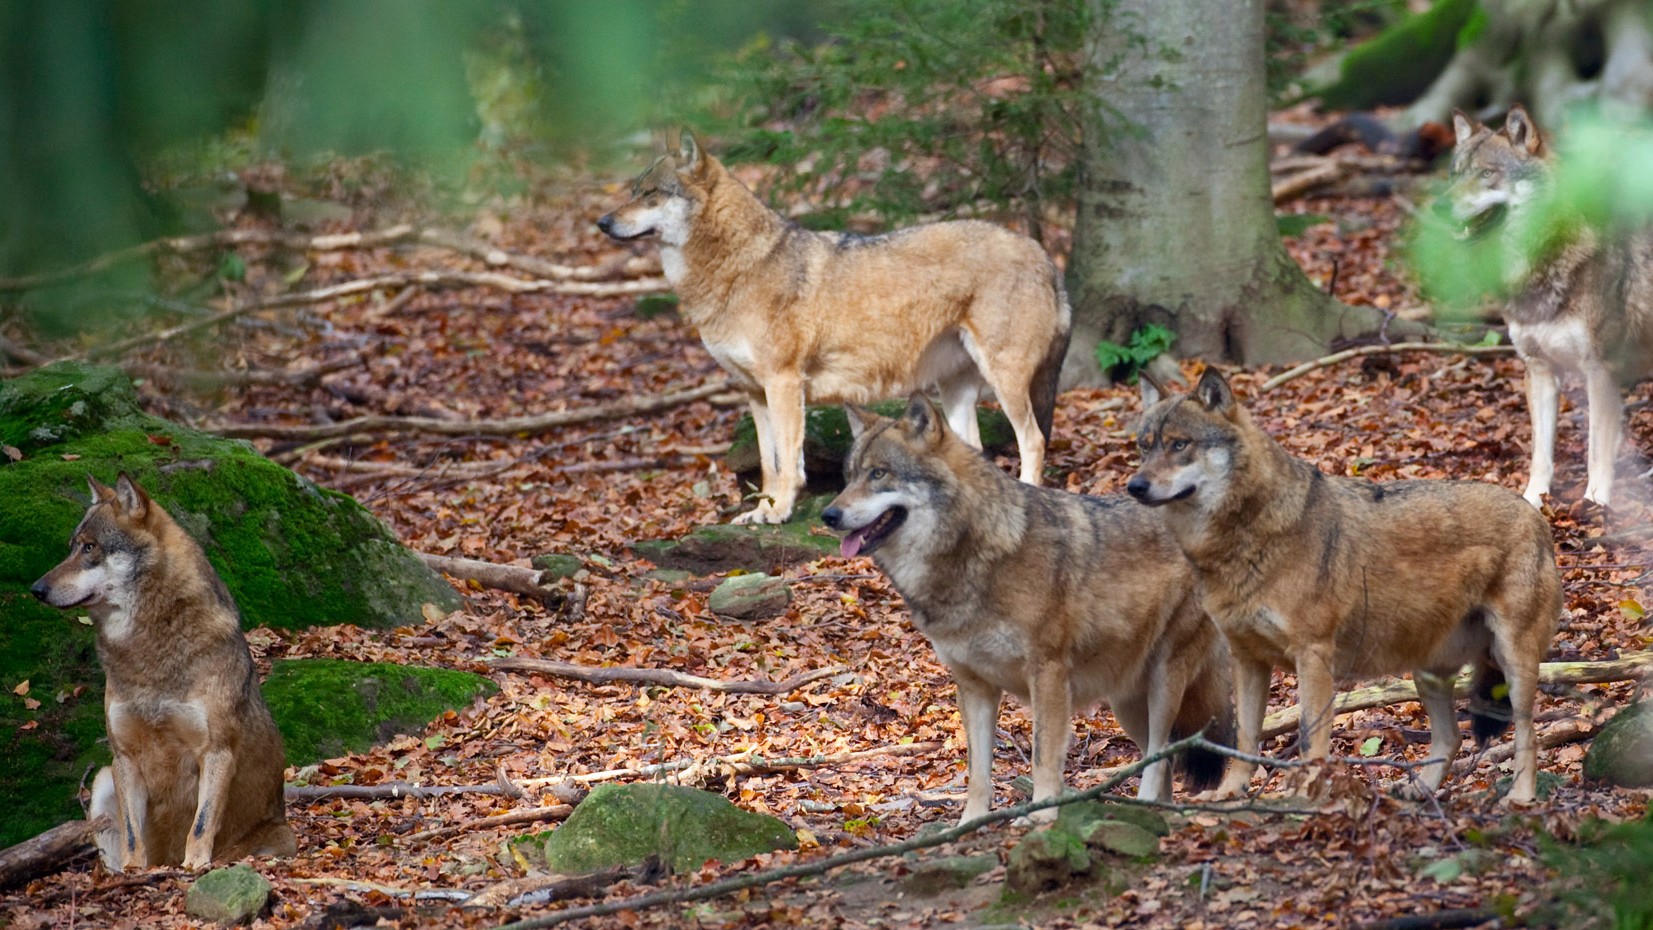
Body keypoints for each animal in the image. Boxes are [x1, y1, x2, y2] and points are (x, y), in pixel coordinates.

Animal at [31, 474, 296, 870]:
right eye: (71, 548)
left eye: (90, 547)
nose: (36, 589)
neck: (148, 655)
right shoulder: (124, 757)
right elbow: (131, 834)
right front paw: (134, 871)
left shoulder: (216, 752)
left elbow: (200, 825)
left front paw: (194, 867)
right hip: (104, 781)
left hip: (278, 839)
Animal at [598, 131, 1072, 525]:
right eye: (634, 191)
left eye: (651, 194)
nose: (602, 222)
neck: (737, 267)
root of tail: (1043, 254)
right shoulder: (755, 392)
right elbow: (768, 465)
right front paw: (762, 511)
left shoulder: (784, 383)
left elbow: (788, 464)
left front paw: (780, 512)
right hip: (953, 391)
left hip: (1005, 380)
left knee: (1033, 440)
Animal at [821, 395, 1233, 822]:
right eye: (849, 477)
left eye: (878, 473)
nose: (828, 515)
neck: (975, 555)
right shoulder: (974, 685)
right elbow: (978, 772)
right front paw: (969, 824)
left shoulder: (1048, 673)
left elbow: (1042, 758)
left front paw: (1042, 817)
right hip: (1128, 703)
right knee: (1163, 762)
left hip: (1164, 682)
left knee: (1160, 756)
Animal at [1127, 369, 1561, 803]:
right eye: (1144, 447)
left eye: (1179, 444)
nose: (1135, 486)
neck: (1242, 539)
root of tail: (1536, 516)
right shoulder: (1247, 659)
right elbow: (1246, 739)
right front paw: (1230, 793)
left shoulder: (1314, 656)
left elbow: (1310, 737)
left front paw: (1307, 796)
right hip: (1428, 672)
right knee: (1452, 737)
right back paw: (1418, 791)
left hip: (1512, 661)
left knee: (1529, 733)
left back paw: (1520, 797)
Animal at [1439, 104, 1653, 507]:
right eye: (1455, 175)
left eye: (1487, 173)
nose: (1437, 207)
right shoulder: (1539, 370)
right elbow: (1541, 453)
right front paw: (1532, 501)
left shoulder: (1599, 370)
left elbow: (1596, 451)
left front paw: (1594, 504)